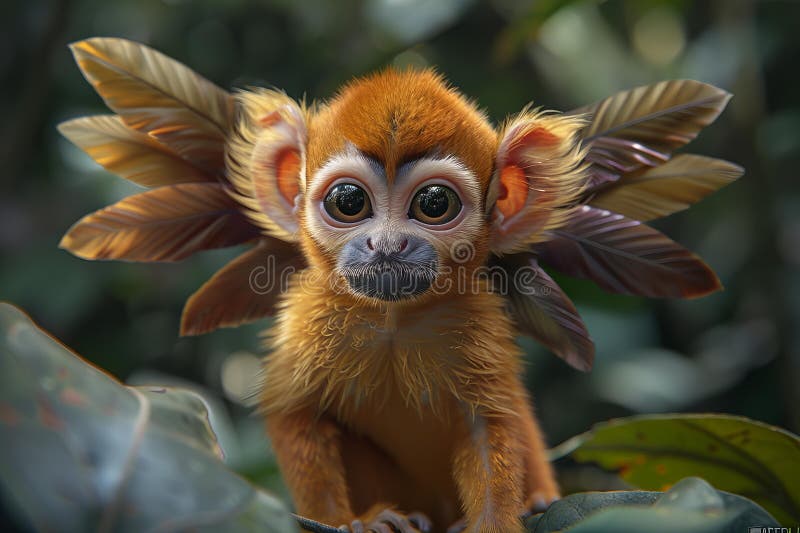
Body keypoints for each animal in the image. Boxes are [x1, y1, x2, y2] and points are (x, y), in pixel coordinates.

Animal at [59, 38, 741, 533]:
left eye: (434, 204)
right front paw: (354, 522)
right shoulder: (307, 323)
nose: (386, 245)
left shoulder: (477, 329)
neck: (391, 323)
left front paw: (497, 522)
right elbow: (295, 413)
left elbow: (488, 427)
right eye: (350, 202)